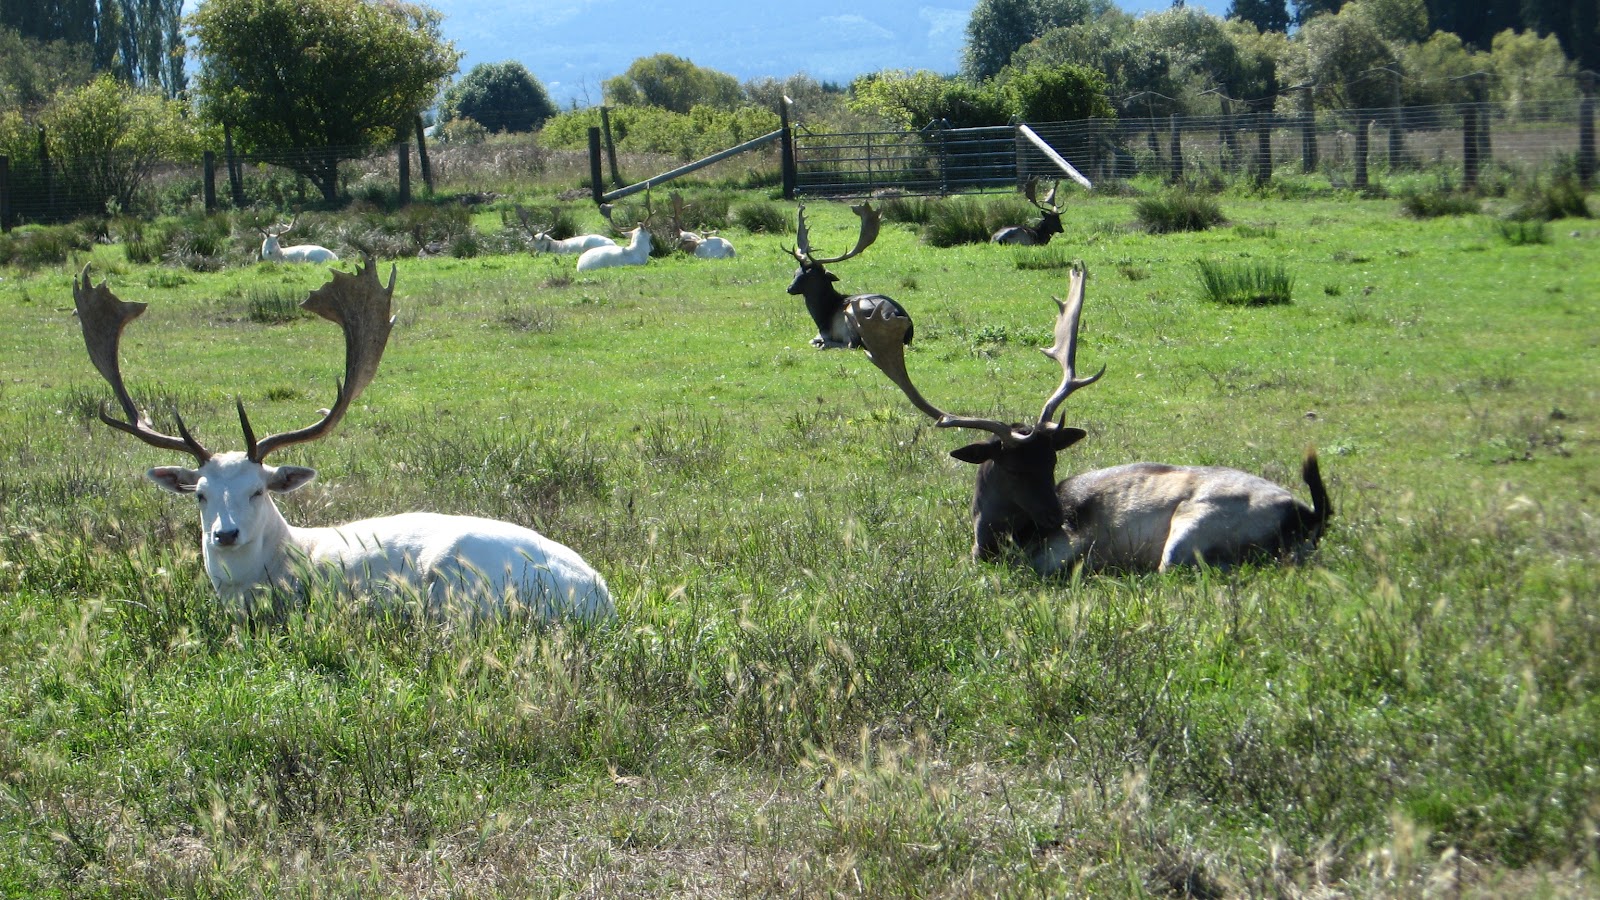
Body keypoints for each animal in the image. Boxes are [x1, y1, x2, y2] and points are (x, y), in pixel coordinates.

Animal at [72, 260, 614, 622]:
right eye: (200, 493)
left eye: (258, 489)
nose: (224, 534)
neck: (278, 568)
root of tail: (599, 596)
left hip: (458, 587)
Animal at [785, 202, 912, 349]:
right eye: (795, 273)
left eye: (810, 276)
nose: (790, 288)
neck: (822, 316)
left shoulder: (824, 331)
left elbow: (812, 340)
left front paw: (819, 342)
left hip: (852, 314)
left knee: (852, 344)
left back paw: (824, 345)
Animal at [851, 263, 1329, 575]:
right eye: (1011, 466)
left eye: (1051, 461)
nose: (1056, 519)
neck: (988, 545)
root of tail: (1306, 514)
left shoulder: (1061, 554)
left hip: (1191, 531)